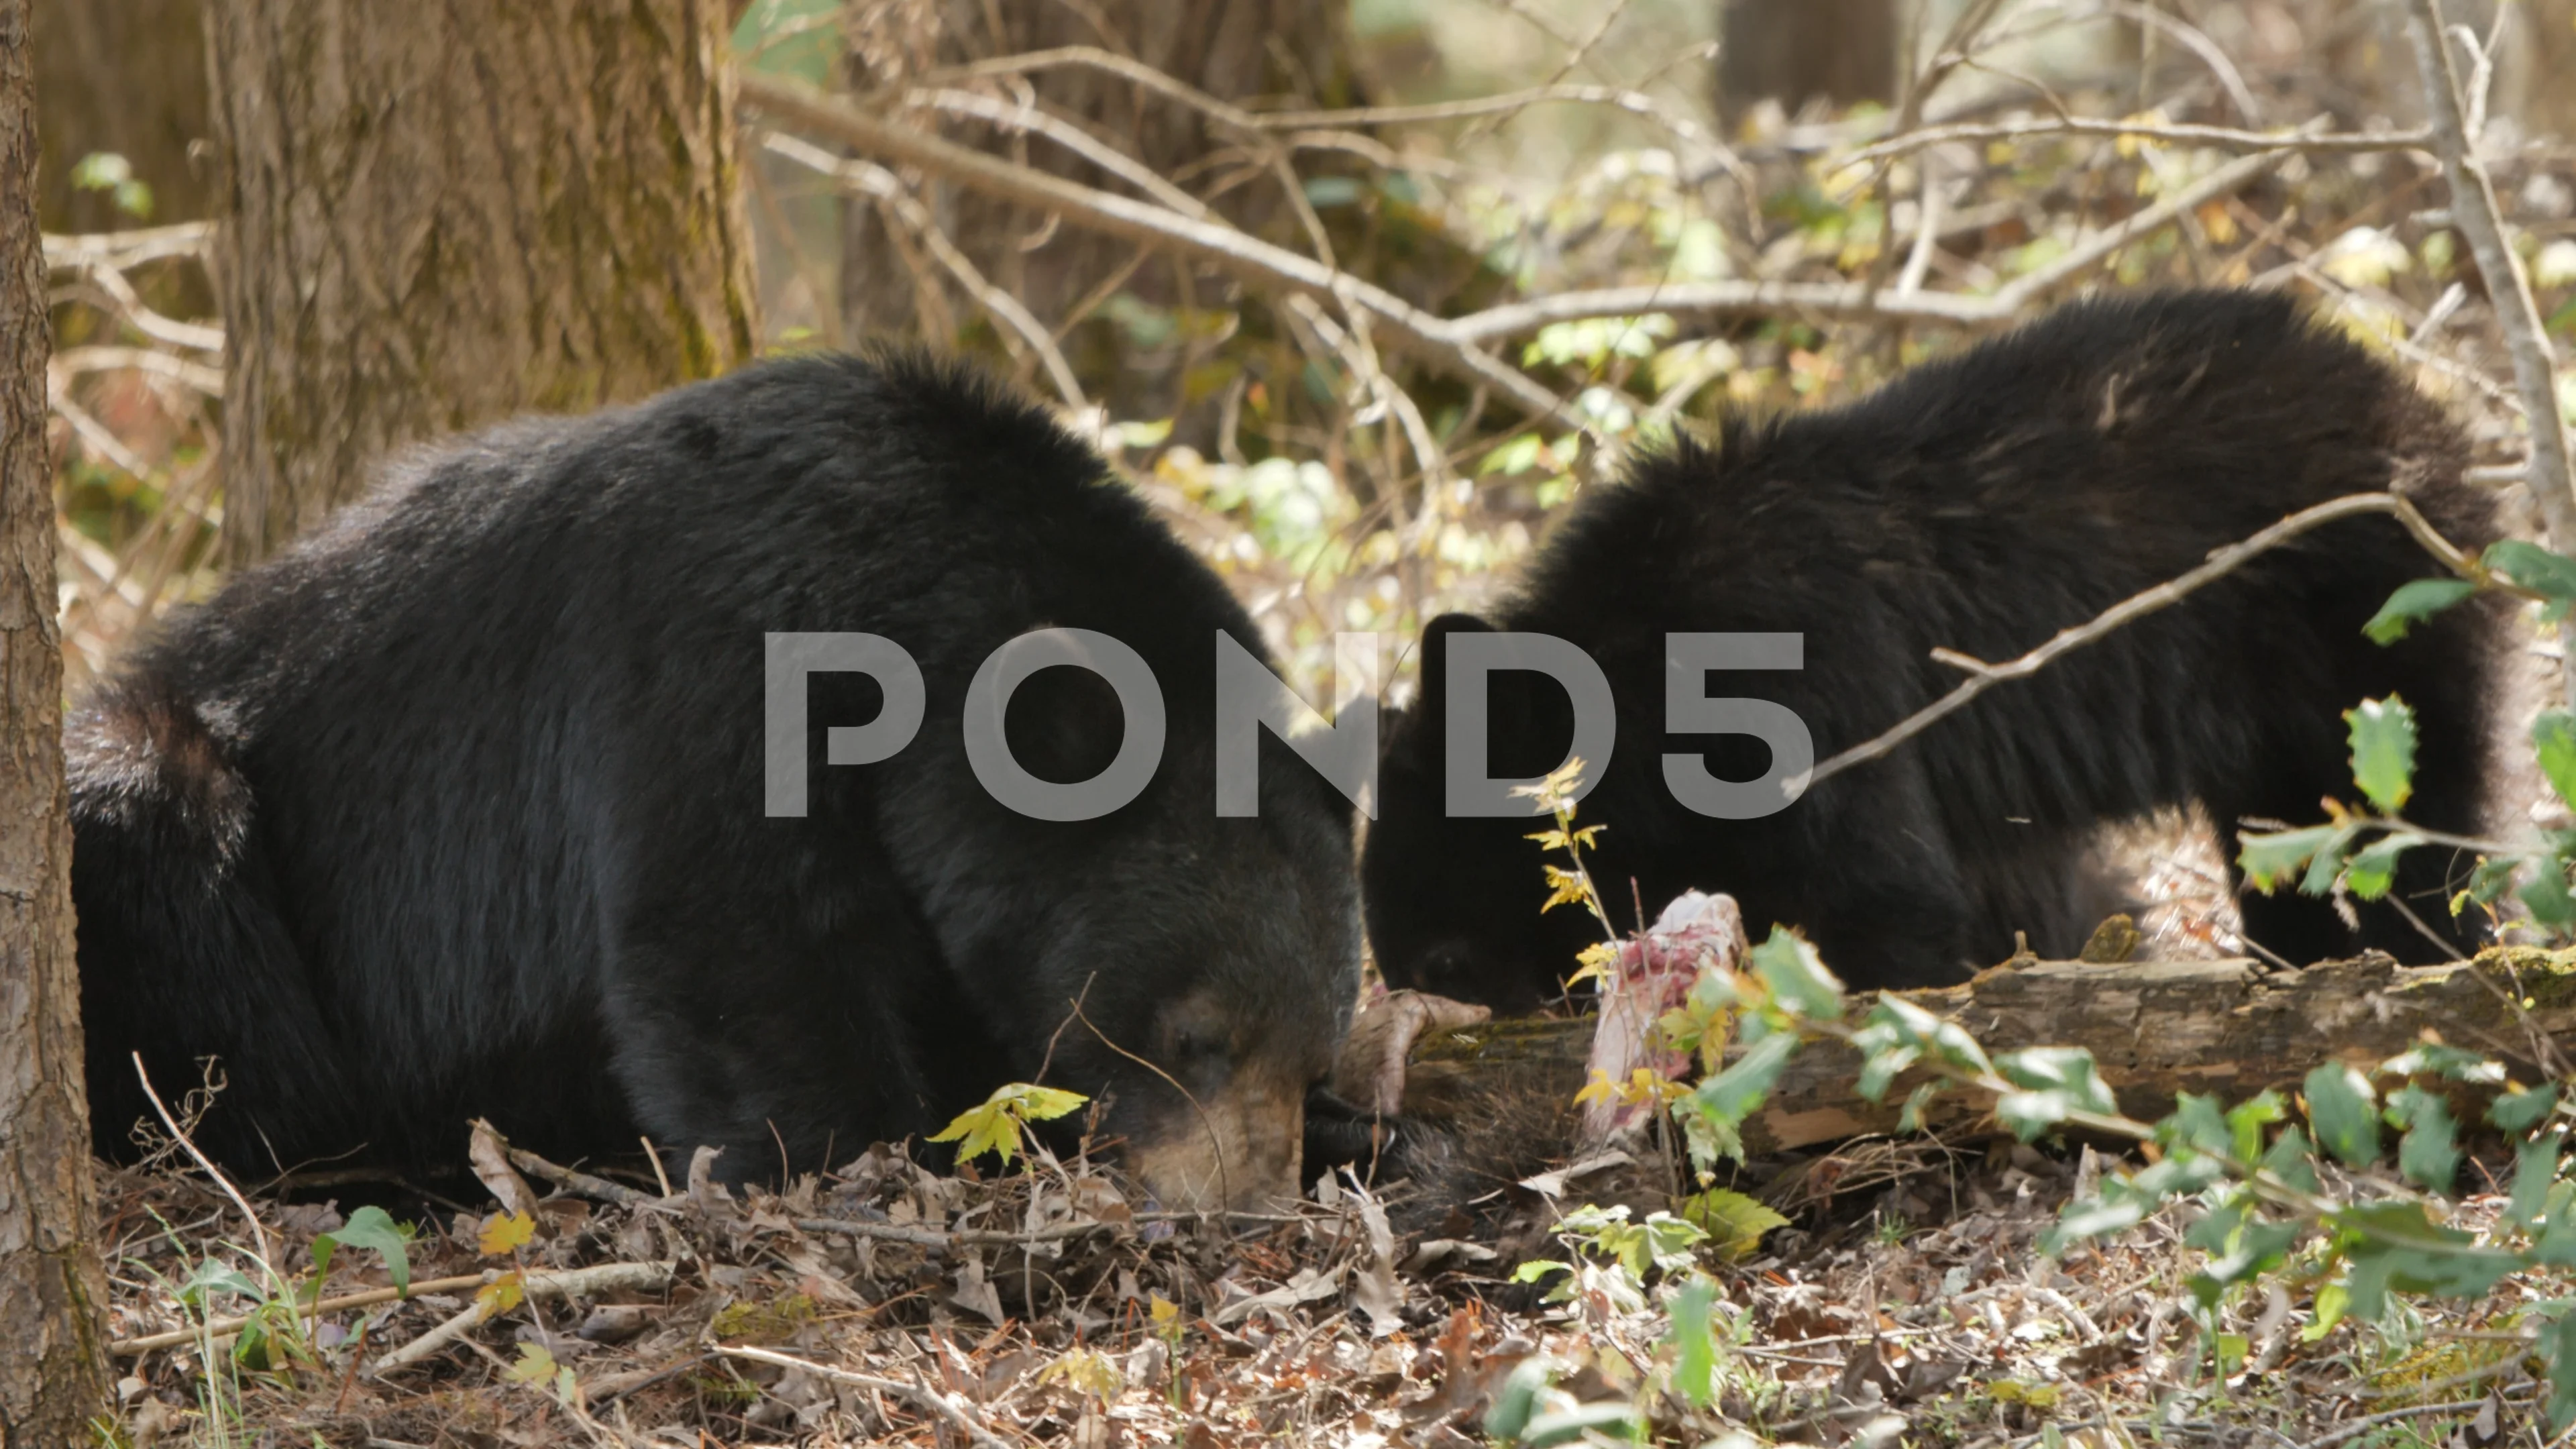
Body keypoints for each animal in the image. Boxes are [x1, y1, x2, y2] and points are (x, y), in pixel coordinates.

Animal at [70, 350, 1363, 1212]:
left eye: (1317, 1046)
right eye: (1196, 1034)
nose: (1245, 1202)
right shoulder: (721, 663)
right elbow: (734, 942)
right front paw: (861, 1166)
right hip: (182, 806)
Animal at [1362, 289, 2500, 1013]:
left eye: (1448, 956)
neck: (1648, 668)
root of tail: (2418, 401)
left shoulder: (1810, 697)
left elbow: (1892, 903)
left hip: (2369, 625)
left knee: (2424, 821)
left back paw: (2437, 957)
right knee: (2284, 840)